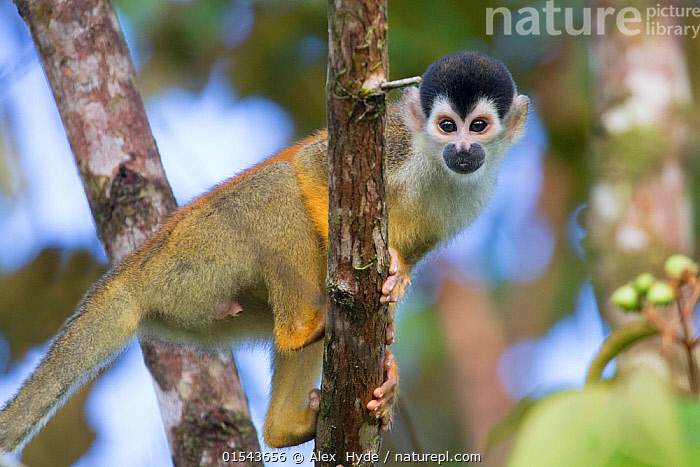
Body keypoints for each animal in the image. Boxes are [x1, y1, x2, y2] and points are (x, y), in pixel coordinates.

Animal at [0, 51, 528, 451]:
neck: (436, 165)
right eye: (447, 126)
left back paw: (286, 426)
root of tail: (132, 272)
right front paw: (378, 273)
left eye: (479, 126)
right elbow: (311, 168)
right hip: (197, 259)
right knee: (278, 187)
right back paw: (304, 327)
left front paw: (397, 294)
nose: (463, 150)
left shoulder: (468, 204)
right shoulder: (394, 139)